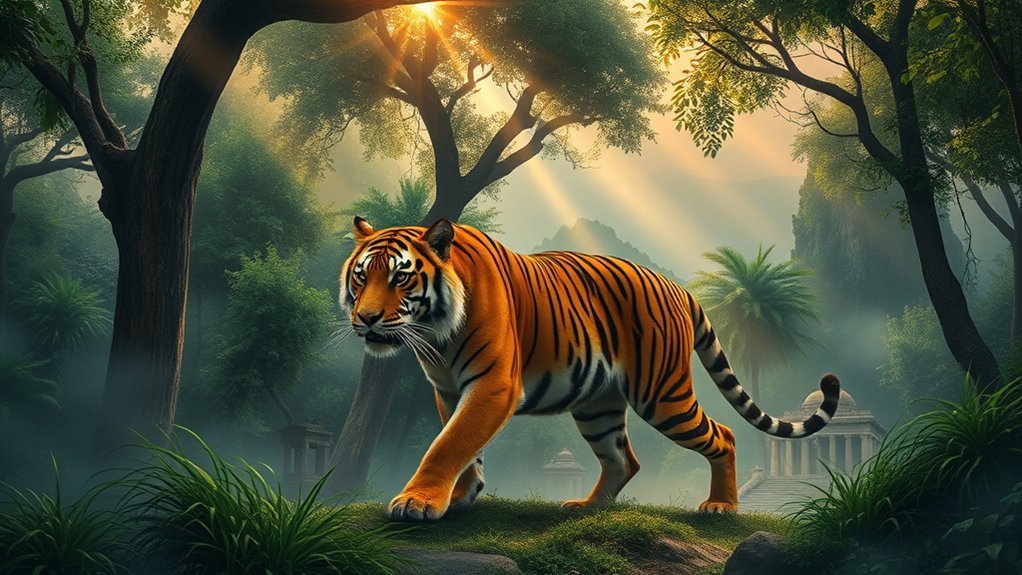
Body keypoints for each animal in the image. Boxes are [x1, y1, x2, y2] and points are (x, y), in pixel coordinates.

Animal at [339, 217, 840, 522]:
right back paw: (588, 506)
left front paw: (417, 501)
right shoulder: (446, 389)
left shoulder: (493, 385)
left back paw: (720, 506)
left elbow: (448, 444)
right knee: (624, 459)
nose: (366, 318)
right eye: (362, 276)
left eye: (401, 277)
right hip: (598, 404)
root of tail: (678, 288)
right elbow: (459, 443)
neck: (435, 334)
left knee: (724, 435)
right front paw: (462, 494)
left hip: (663, 395)